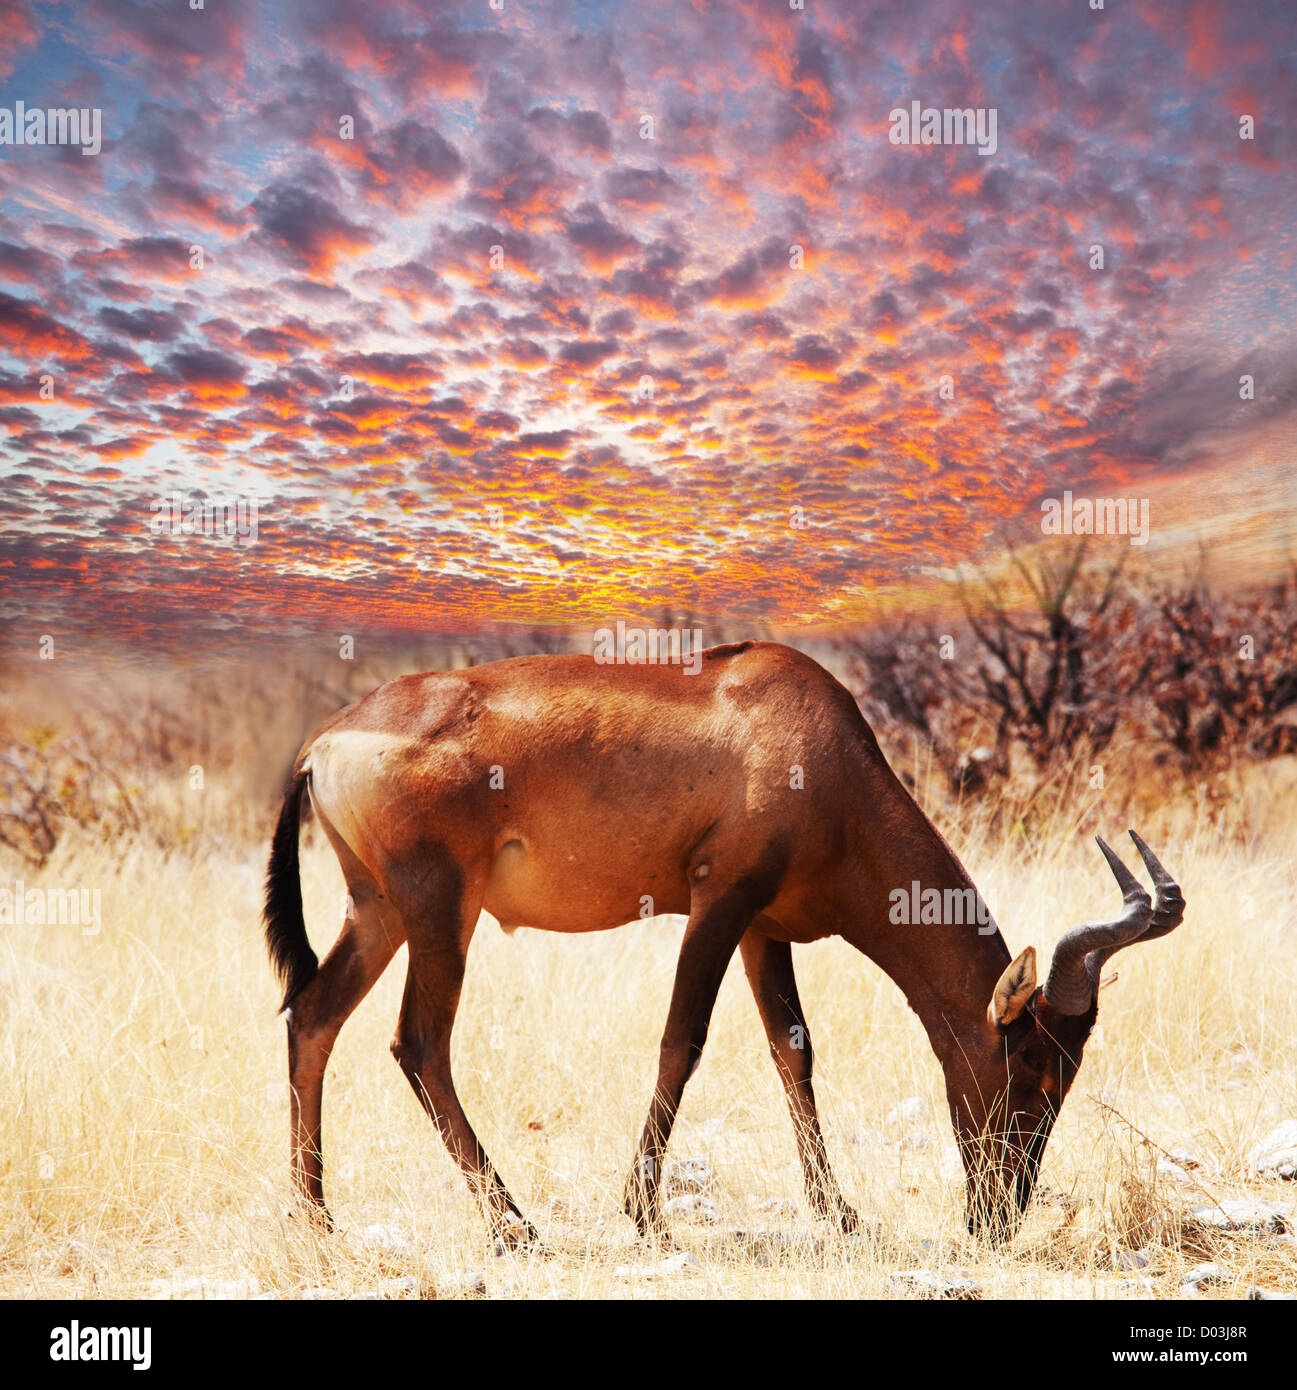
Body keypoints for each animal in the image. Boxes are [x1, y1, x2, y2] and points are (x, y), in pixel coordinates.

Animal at [263, 640, 1185, 1245]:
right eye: (1028, 1062)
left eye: (1069, 1068)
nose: (995, 1219)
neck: (805, 733)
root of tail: (326, 740)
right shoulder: (719, 902)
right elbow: (684, 1039)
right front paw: (642, 1213)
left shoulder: (762, 928)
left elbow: (792, 1050)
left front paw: (839, 1212)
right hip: (437, 913)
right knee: (419, 1043)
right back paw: (512, 1225)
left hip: (376, 911)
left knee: (313, 1016)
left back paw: (316, 1218)